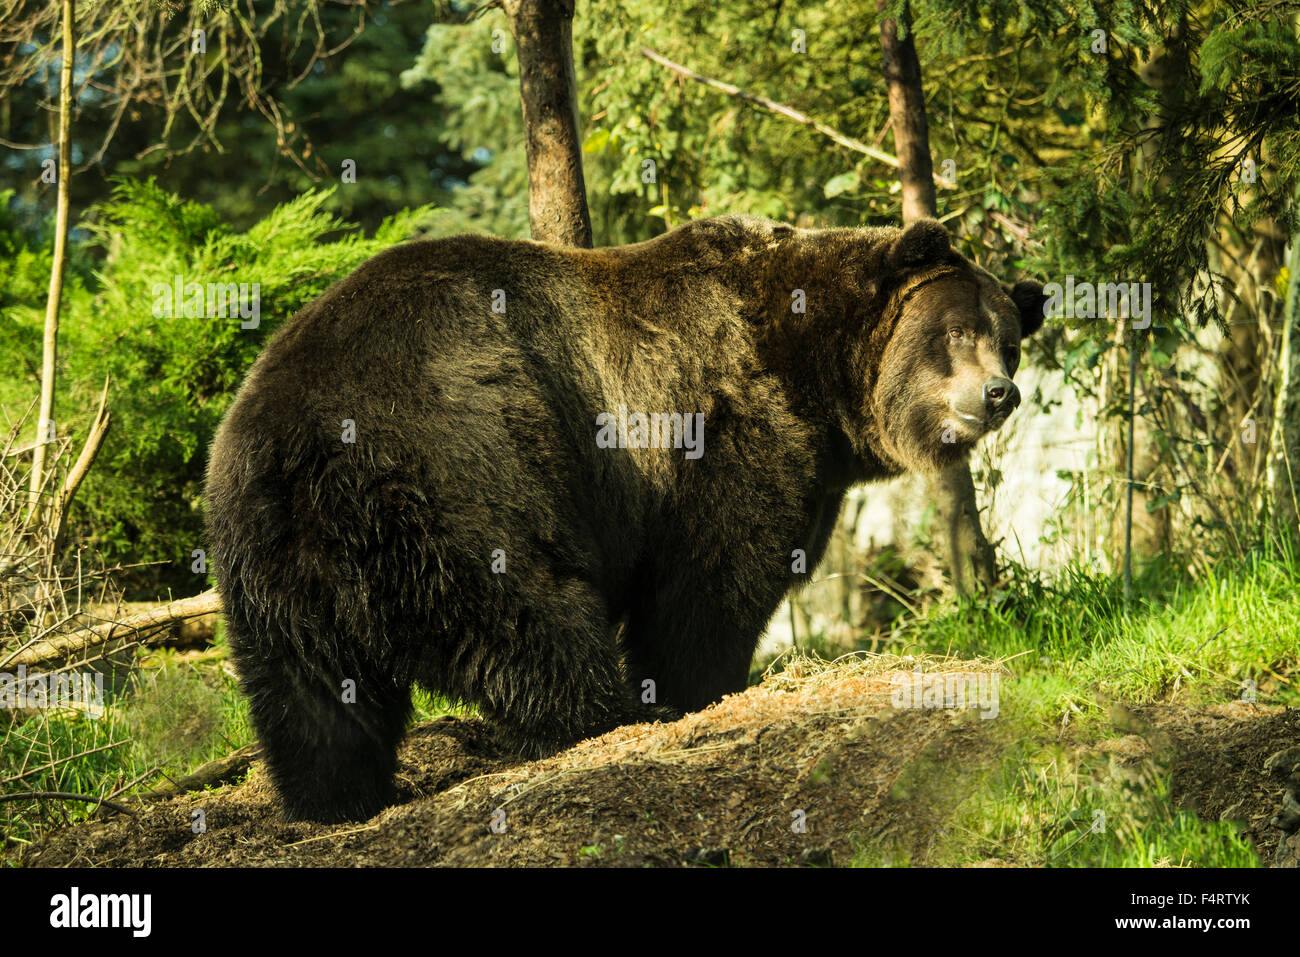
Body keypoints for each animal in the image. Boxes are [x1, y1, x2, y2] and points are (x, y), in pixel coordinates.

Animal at [204, 214, 1046, 822]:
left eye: (1007, 338)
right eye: (957, 332)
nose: (999, 392)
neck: (813, 369)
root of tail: (298, 442)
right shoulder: (718, 430)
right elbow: (711, 582)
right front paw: (694, 688)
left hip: (269, 558)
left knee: (309, 690)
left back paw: (334, 798)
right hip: (464, 470)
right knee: (535, 616)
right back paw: (599, 718)